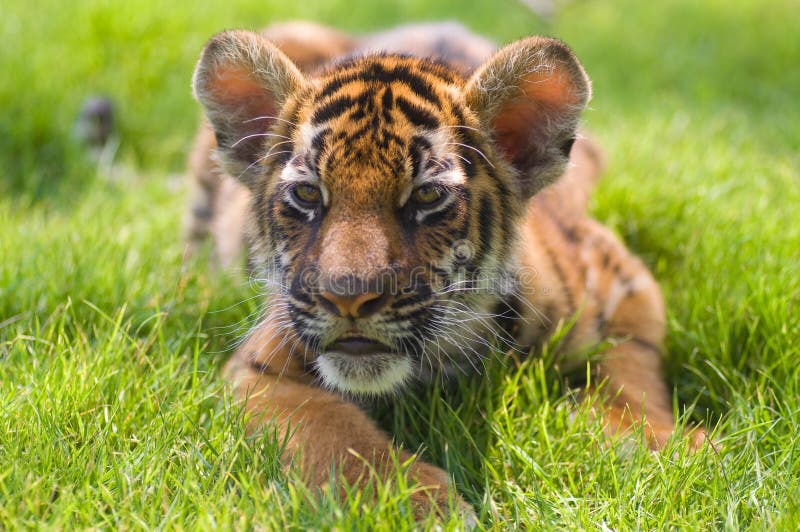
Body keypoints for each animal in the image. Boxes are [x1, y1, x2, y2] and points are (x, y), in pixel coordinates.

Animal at [186, 21, 707, 519]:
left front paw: (669, 443)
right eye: (308, 193)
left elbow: (631, 373)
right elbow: (337, 433)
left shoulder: (621, 274)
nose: (347, 296)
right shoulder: (262, 368)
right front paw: (423, 505)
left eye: (427, 196)